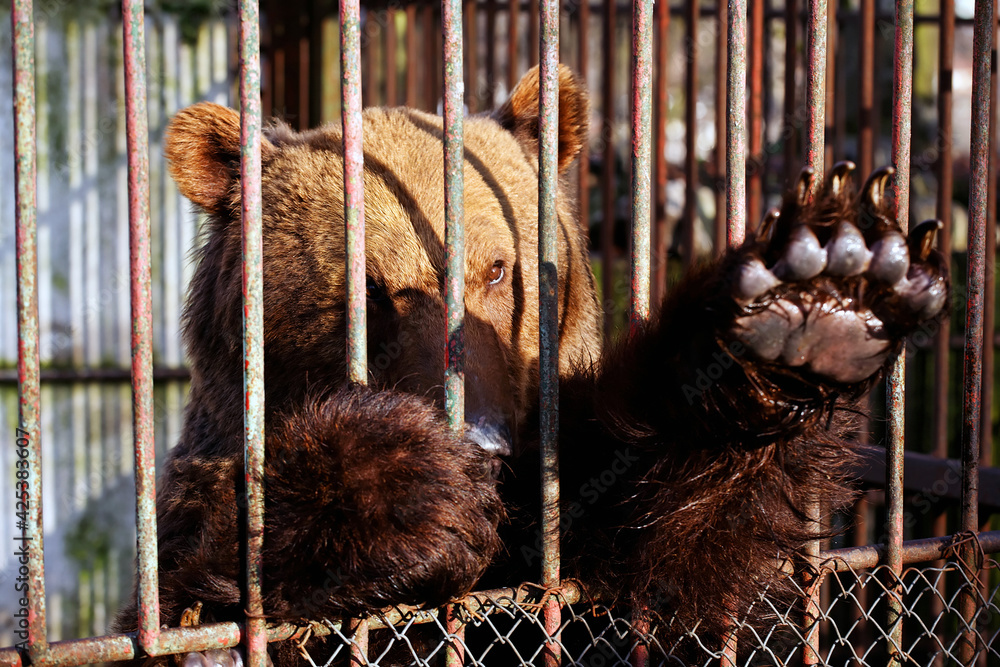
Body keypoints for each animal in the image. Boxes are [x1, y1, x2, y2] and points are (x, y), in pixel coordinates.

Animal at [111, 64, 948, 666]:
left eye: (497, 268)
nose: (481, 440)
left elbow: (671, 548)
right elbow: (197, 600)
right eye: (371, 289)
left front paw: (816, 297)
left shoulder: (565, 501)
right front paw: (410, 484)